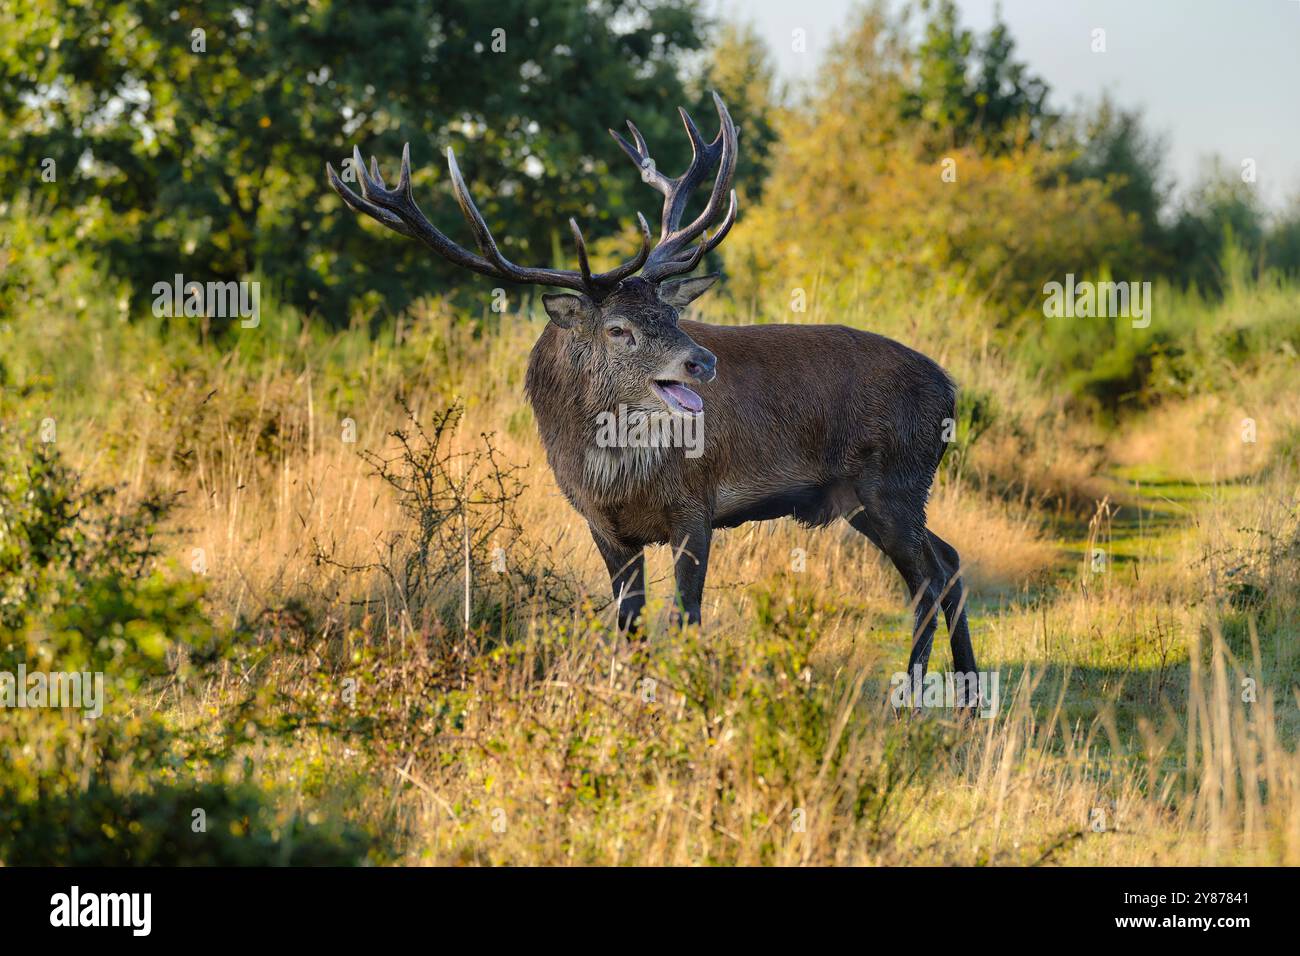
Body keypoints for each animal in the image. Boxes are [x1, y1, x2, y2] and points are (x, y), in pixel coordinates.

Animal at [326, 93, 978, 697]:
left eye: (671, 313)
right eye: (618, 328)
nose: (702, 360)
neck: (614, 471)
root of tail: (950, 390)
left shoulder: (697, 506)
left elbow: (687, 619)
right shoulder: (603, 524)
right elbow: (631, 625)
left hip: (892, 483)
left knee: (930, 576)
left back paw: (916, 692)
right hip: (870, 498)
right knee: (948, 560)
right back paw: (967, 695)